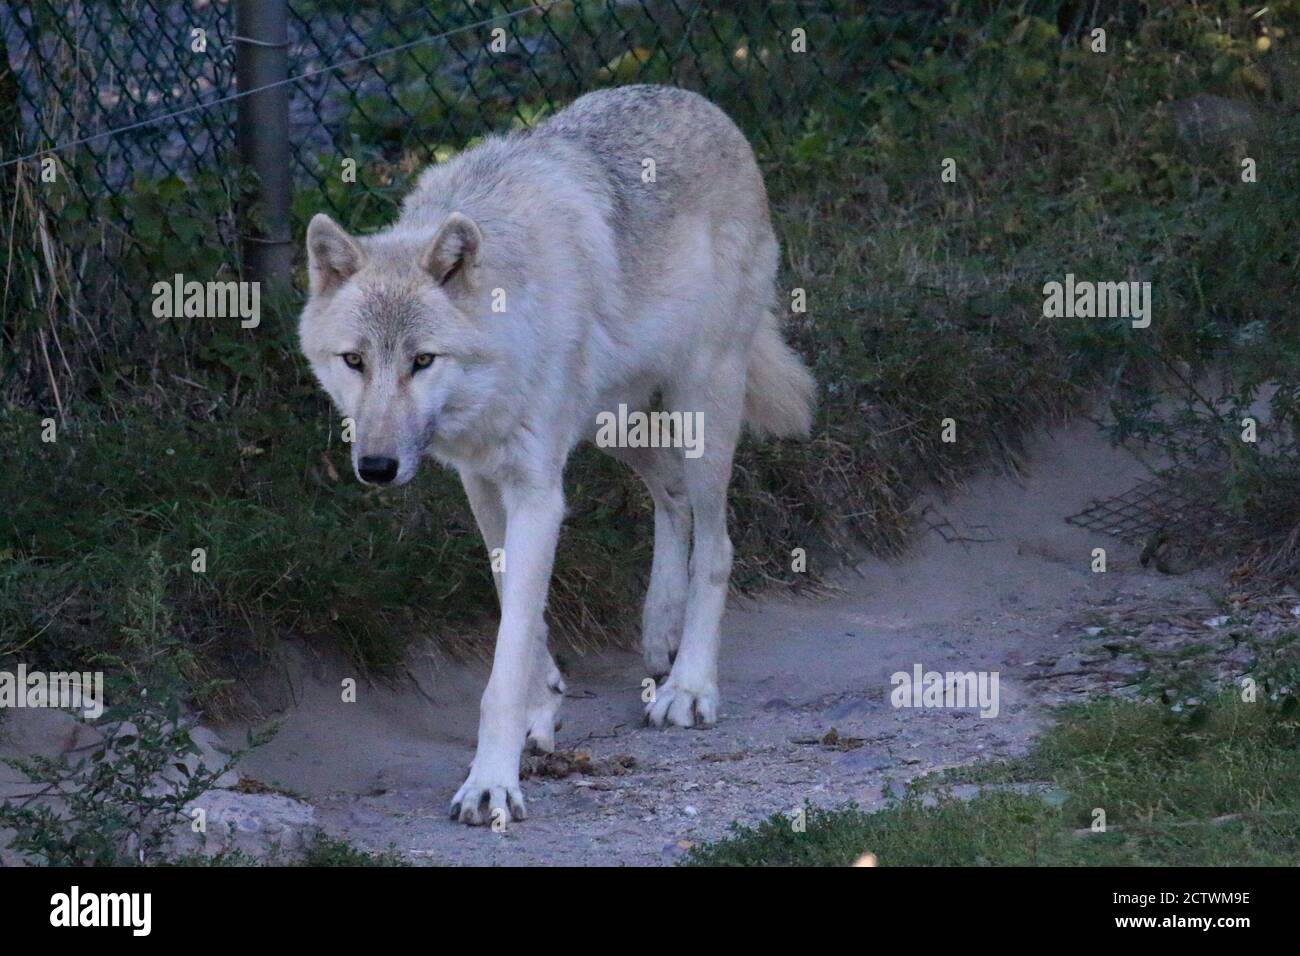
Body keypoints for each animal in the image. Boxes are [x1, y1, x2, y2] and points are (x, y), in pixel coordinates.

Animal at [298, 85, 815, 826]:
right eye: (354, 361)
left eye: (423, 361)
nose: (376, 468)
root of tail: (705, 105)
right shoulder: (482, 481)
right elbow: (516, 606)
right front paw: (541, 707)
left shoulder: (538, 490)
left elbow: (506, 654)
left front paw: (491, 781)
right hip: (613, 423)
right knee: (672, 495)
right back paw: (660, 629)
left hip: (702, 404)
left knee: (717, 544)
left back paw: (689, 685)